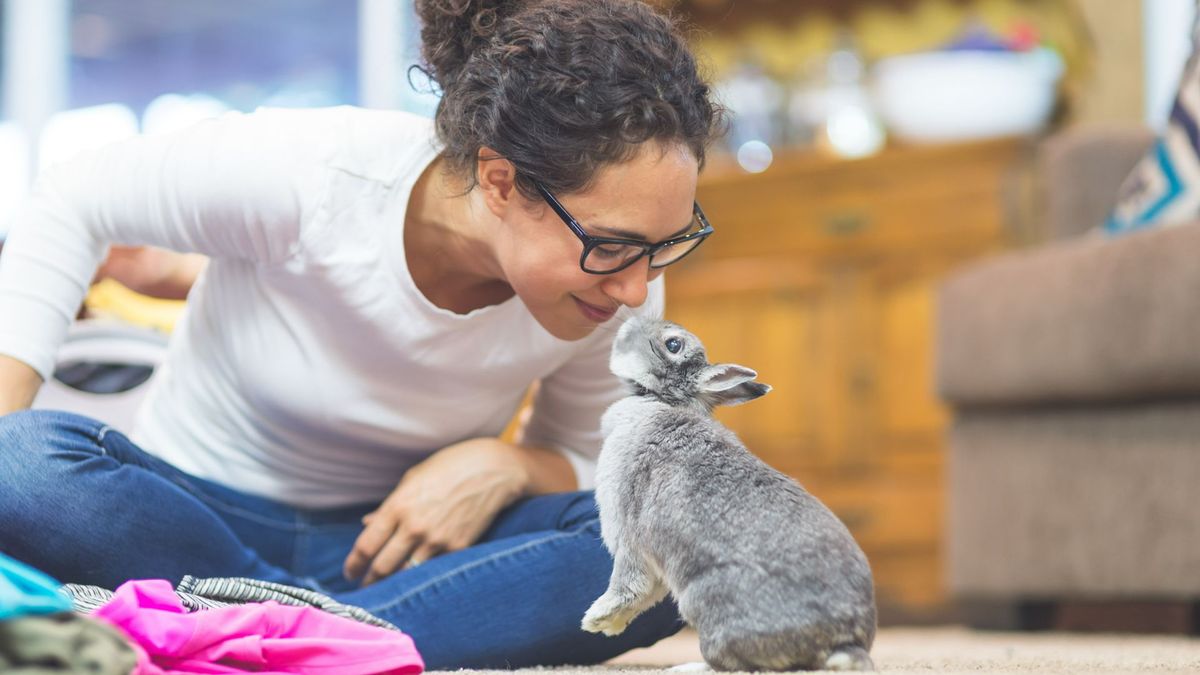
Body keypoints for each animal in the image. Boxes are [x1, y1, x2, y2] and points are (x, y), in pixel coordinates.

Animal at [581, 316, 877, 671]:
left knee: (730, 664)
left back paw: (687, 667)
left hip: (705, 605)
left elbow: (629, 584)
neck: (661, 400)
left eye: (673, 344)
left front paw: (594, 619)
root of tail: (842, 643)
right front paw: (609, 626)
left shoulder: (628, 536)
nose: (631, 320)